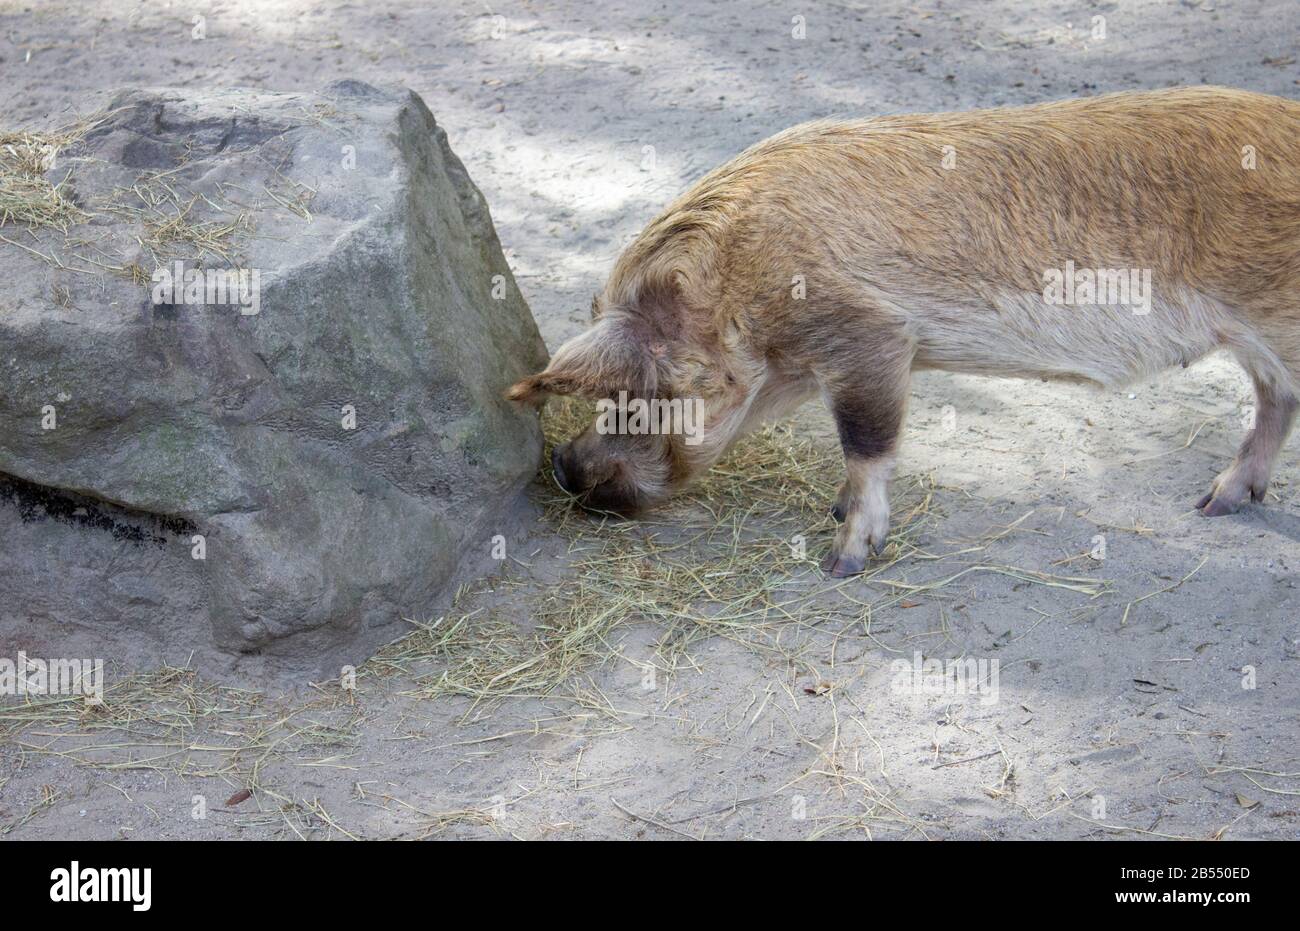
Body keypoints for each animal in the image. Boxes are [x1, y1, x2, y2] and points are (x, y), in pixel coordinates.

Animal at [508, 87, 1300, 577]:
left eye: (632, 396)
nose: (563, 466)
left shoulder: (872, 335)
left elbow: (868, 444)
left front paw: (842, 562)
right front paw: (833, 515)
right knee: (1276, 400)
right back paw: (1215, 502)